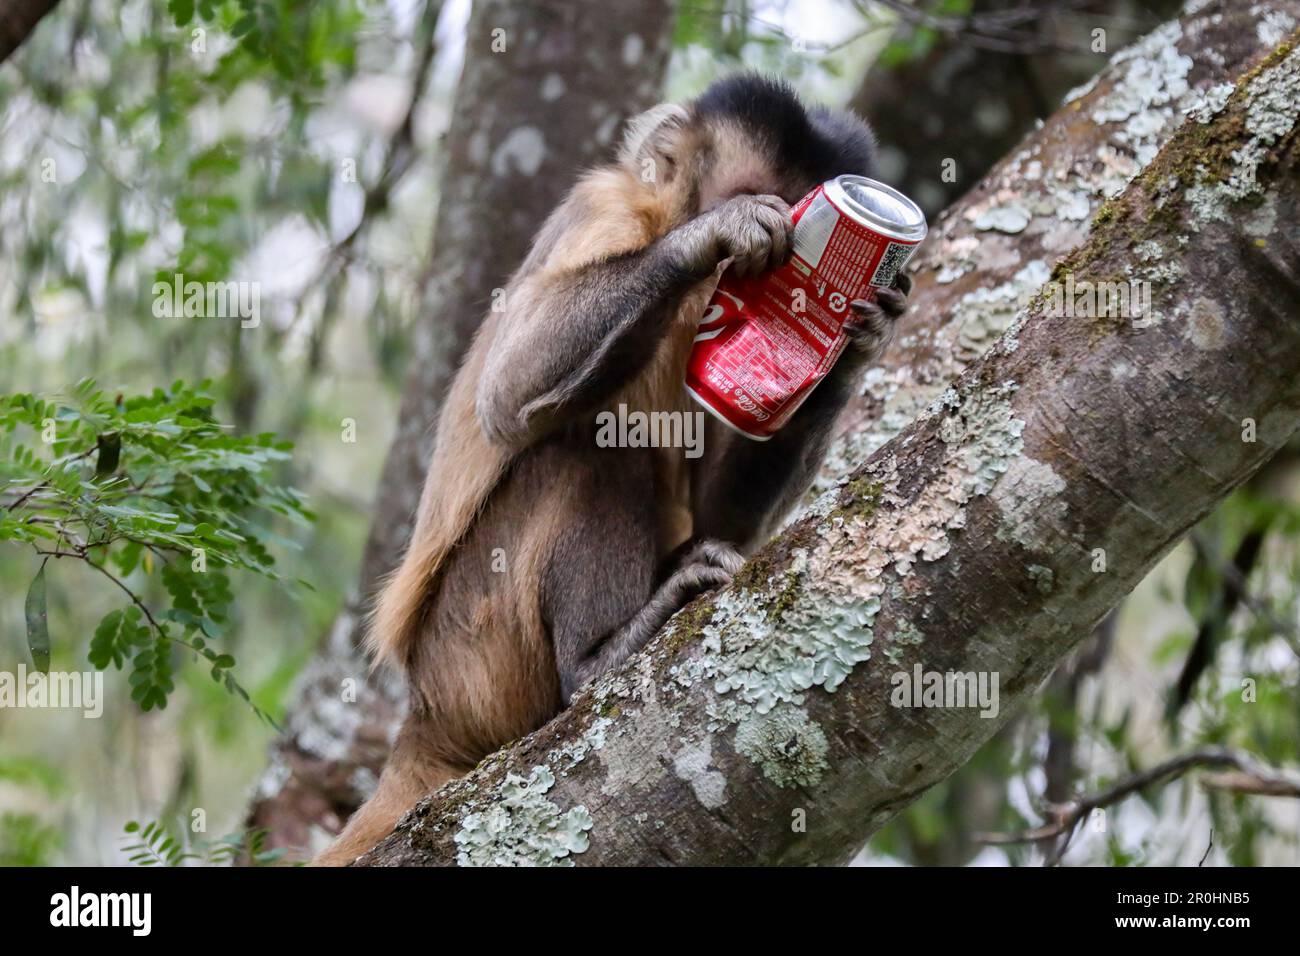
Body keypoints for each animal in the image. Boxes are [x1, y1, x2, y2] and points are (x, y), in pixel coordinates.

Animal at [314, 73, 912, 865]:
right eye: (776, 208)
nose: (780, 275)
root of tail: (422, 713)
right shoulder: (604, 210)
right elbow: (507, 396)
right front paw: (715, 233)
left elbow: (720, 515)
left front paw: (862, 330)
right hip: (473, 655)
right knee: (590, 445)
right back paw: (597, 661)